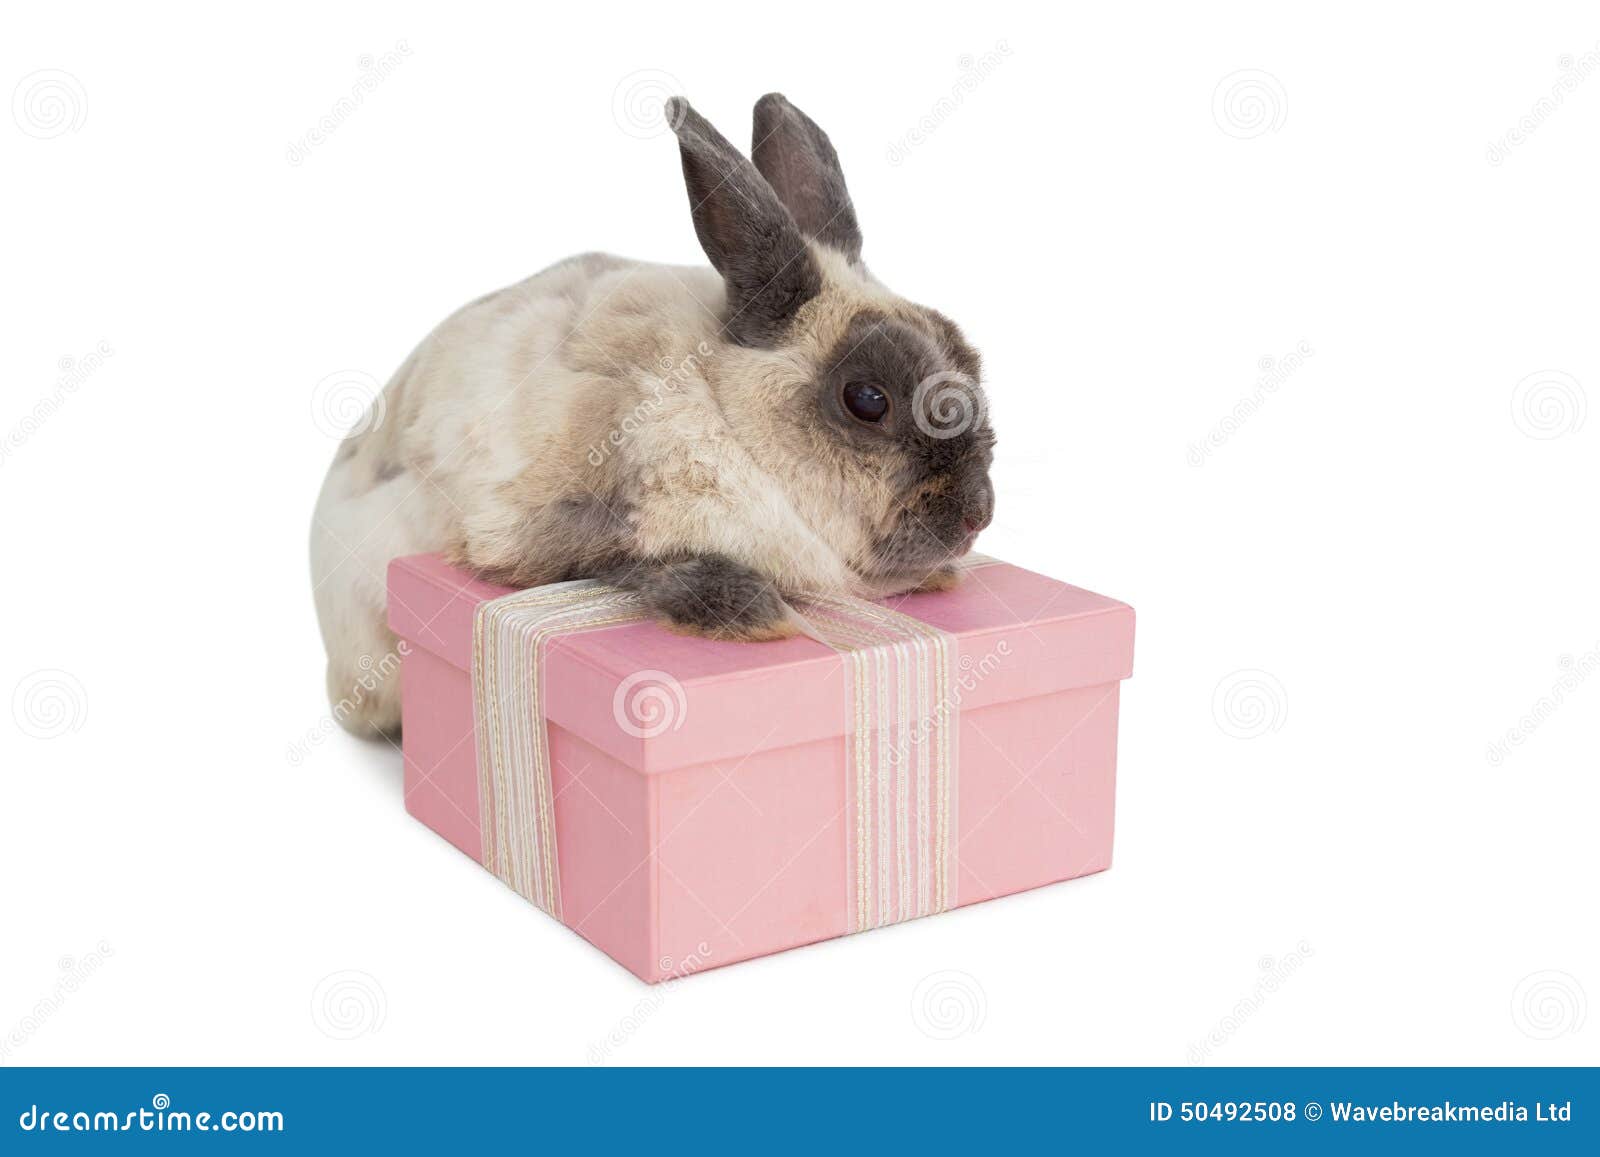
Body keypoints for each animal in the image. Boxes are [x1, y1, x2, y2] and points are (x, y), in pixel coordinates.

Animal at [310, 93, 995, 737]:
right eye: (868, 400)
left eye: (971, 360)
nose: (977, 516)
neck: (720, 410)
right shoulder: (541, 528)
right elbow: (643, 562)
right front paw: (758, 615)